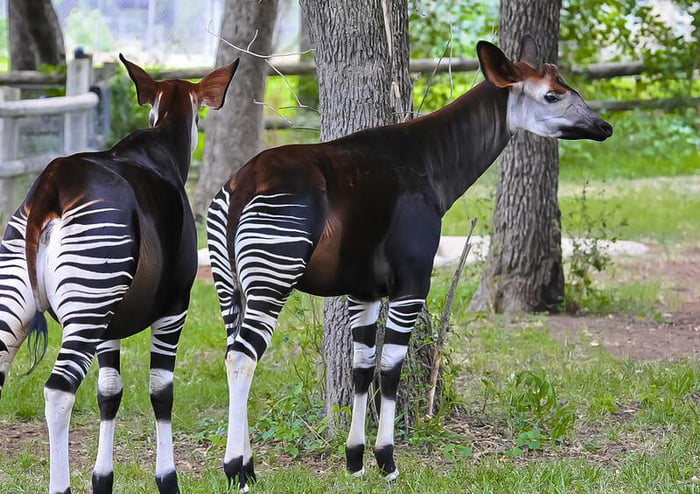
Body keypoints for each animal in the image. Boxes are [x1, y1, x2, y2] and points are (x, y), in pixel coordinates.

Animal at [0, 55, 238, 494]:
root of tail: (50, 186)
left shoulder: (109, 323)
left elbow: (108, 392)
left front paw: (102, 479)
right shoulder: (175, 306)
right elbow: (161, 391)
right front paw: (167, 479)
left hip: (33, 302)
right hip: (87, 304)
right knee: (58, 392)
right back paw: (60, 485)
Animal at [205, 35, 612, 492]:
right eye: (552, 95)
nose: (604, 127)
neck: (431, 163)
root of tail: (242, 185)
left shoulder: (362, 290)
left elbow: (362, 367)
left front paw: (354, 461)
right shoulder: (413, 283)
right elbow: (390, 369)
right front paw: (387, 461)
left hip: (230, 284)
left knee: (233, 352)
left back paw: (248, 467)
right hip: (272, 276)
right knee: (243, 357)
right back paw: (236, 471)